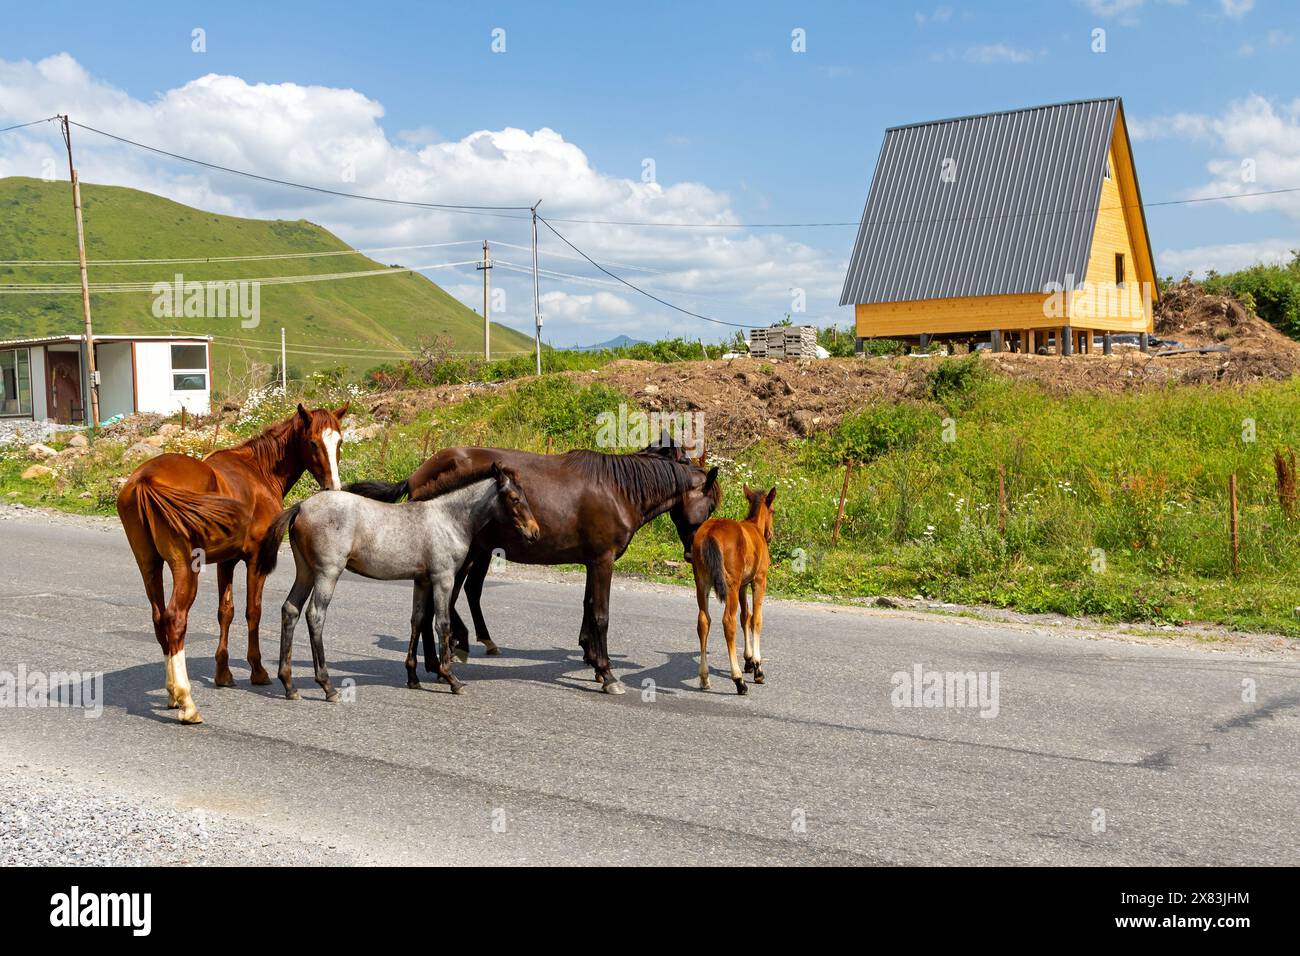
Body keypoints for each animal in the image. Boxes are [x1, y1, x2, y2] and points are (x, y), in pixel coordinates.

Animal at [116, 403, 349, 724]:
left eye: (339, 441)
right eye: (313, 443)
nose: (334, 488)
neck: (258, 472)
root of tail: (146, 479)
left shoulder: (225, 562)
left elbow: (225, 612)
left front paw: (223, 673)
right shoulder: (256, 560)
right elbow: (254, 612)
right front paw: (258, 670)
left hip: (148, 564)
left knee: (158, 618)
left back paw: (172, 695)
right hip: (184, 568)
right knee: (175, 619)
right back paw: (186, 702)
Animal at [261, 464, 541, 700]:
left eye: (524, 496)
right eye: (515, 498)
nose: (535, 532)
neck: (448, 518)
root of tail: (301, 507)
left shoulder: (422, 581)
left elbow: (417, 620)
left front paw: (413, 677)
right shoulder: (443, 578)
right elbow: (442, 624)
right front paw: (451, 679)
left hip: (306, 571)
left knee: (290, 610)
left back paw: (289, 685)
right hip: (327, 572)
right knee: (315, 615)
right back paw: (327, 686)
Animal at [346, 436, 720, 694]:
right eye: (712, 506)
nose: (694, 553)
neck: (617, 490)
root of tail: (419, 473)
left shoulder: (591, 562)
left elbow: (587, 607)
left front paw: (592, 657)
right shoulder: (602, 562)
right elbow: (600, 615)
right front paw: (606, 671)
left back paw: (436, 662)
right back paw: (443, 660)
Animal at [692, 484, 776, 694]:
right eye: (773, 511)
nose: (770, 535)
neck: (755, 528)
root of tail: (710, 533)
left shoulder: (743, 585)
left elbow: (745, 616)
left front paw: (748, 661)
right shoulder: (759, 580)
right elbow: (756, 619)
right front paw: (757, 667)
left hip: (701, 583)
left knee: (703, 621)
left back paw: (704, 678)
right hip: (730, 585)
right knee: (728, 622)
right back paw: (738, 680)